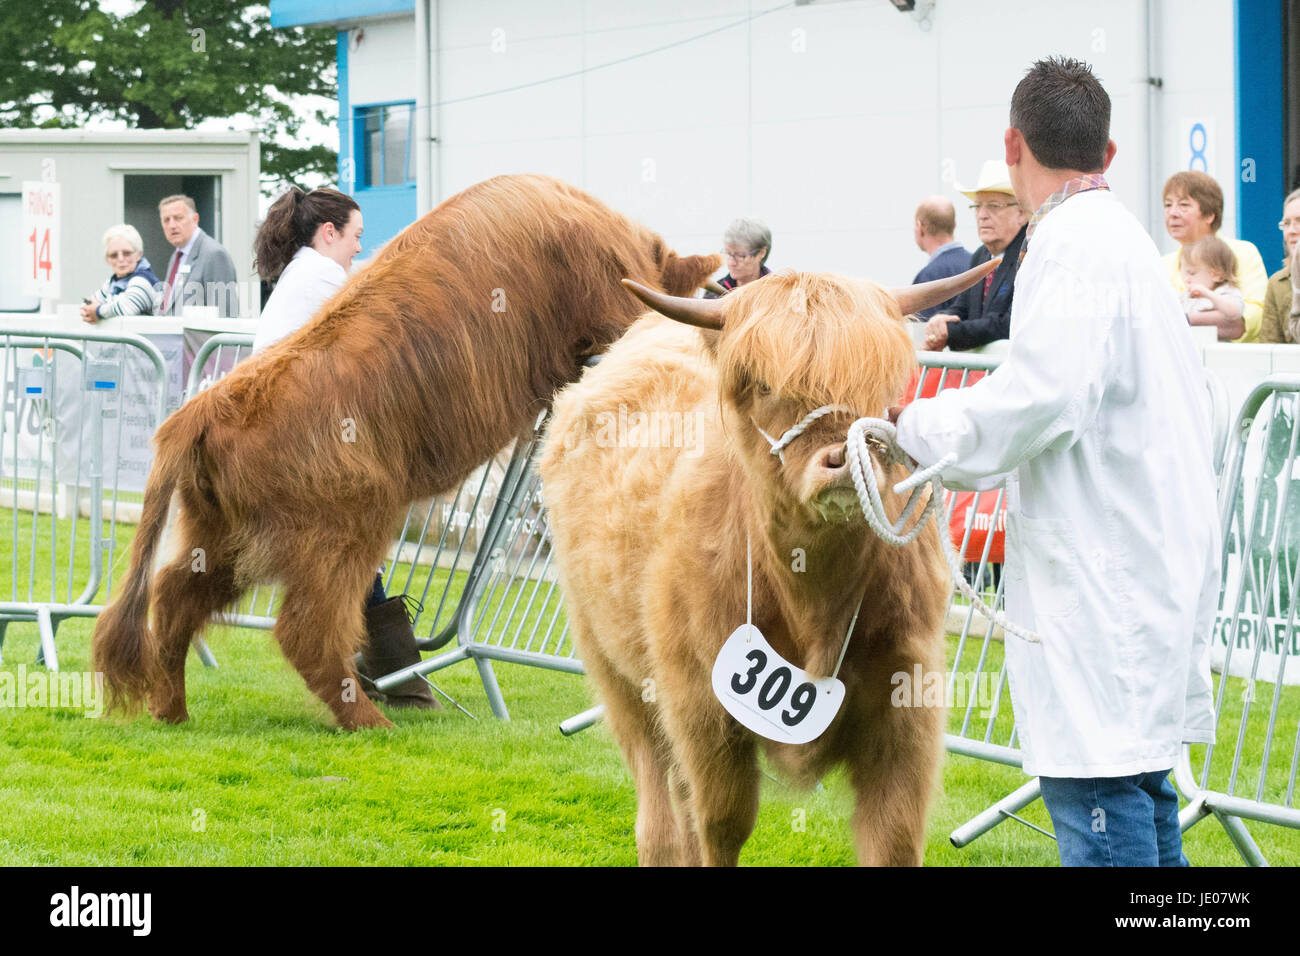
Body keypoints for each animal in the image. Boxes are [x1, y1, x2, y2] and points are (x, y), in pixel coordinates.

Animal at [92, 174, 719, 731]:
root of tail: (202, 410)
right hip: (347, 528)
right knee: (304, 629)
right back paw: (372, 721)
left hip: (225, 541)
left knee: (176, 598)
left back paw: (173, 710)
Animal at [539, 262, 995, 865]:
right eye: (763, 384)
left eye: (883, 384)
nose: (846, 461)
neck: (813, 602)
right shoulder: (701, 707)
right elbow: (722, 824)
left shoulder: (907, 709)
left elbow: (892, 837)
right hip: (615, 670)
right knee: (659, 806)